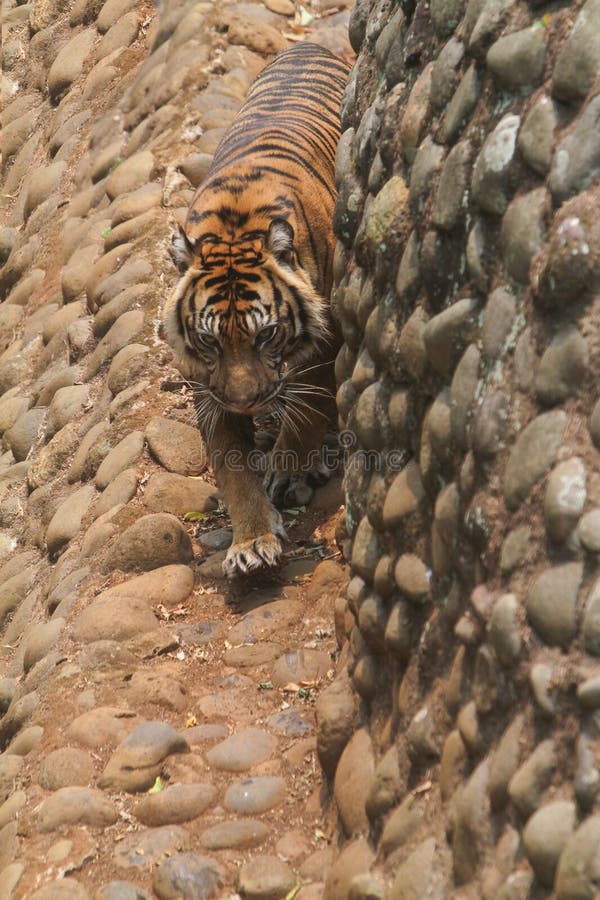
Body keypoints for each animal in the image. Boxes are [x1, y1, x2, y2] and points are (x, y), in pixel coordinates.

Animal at [161, 42, 350, 577]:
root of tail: (309, 44)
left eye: (265, 335)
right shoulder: (207, 384)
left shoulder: (324, 342)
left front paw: (287, 473)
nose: (246, 403)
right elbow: (231, 465)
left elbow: (308, 409)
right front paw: (250, 542)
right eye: (209, 340)